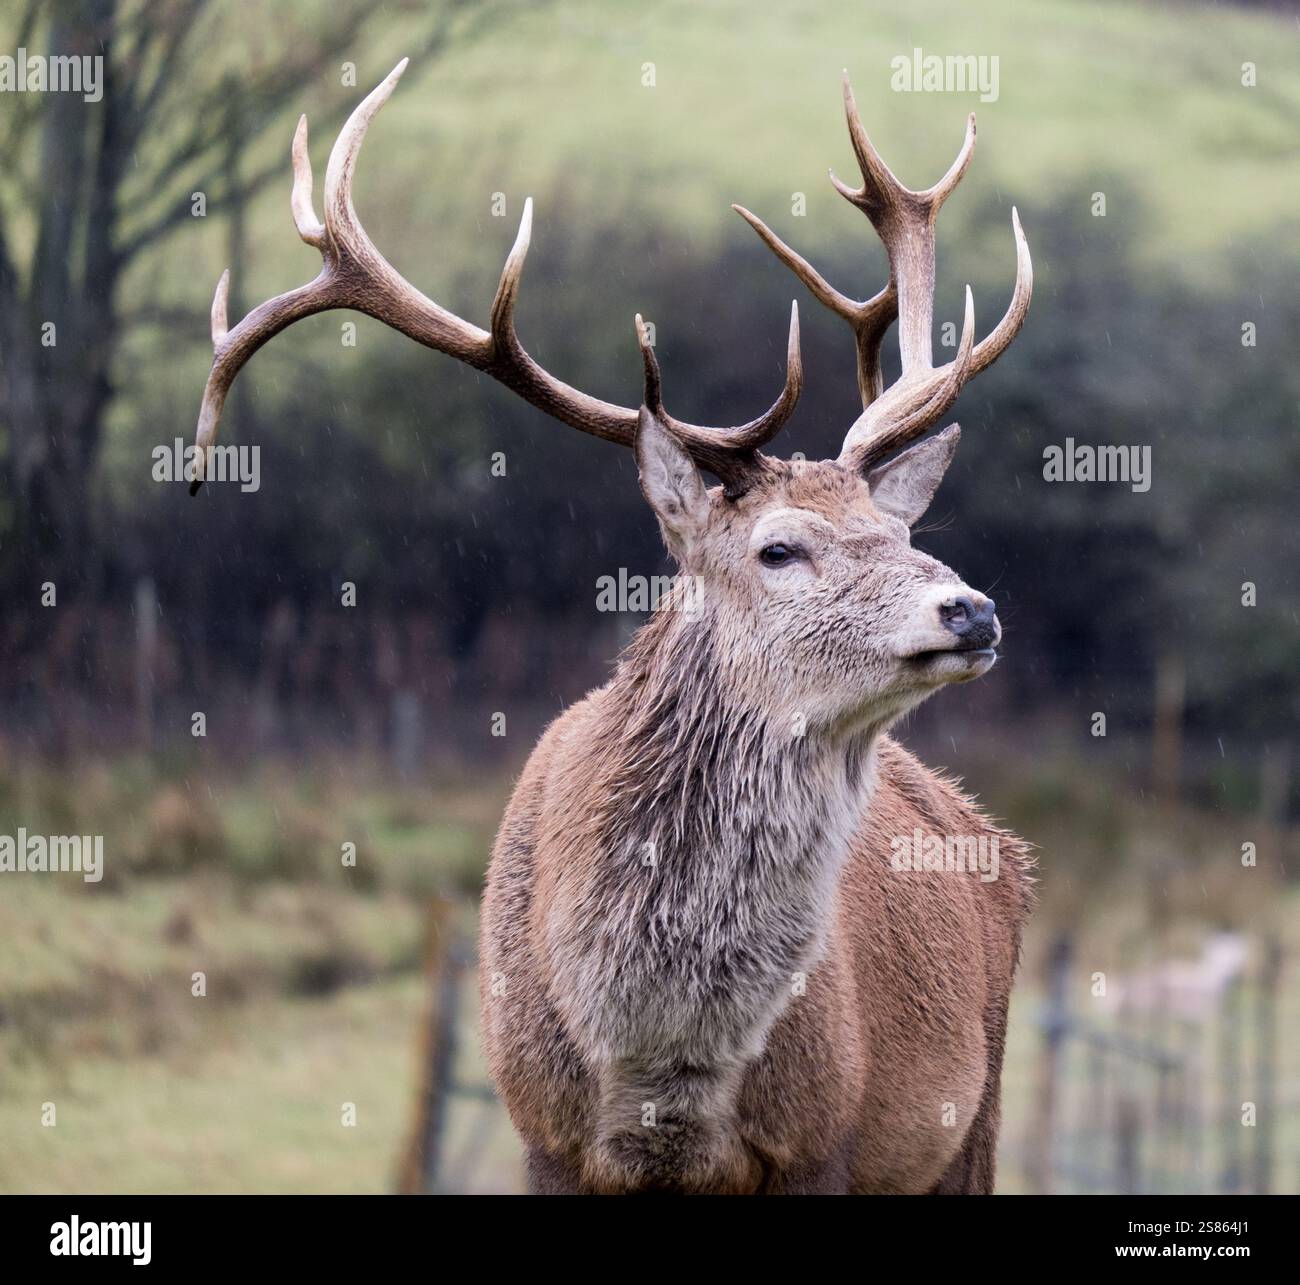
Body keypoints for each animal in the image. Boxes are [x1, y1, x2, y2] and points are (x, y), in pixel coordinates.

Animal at [190, 60, 1035, 1194]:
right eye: (777, 549)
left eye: (899, 528)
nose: (971, 607)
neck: (655, 1061)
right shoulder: (541, 1129)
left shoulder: (826, 1132)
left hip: (972, 1117)